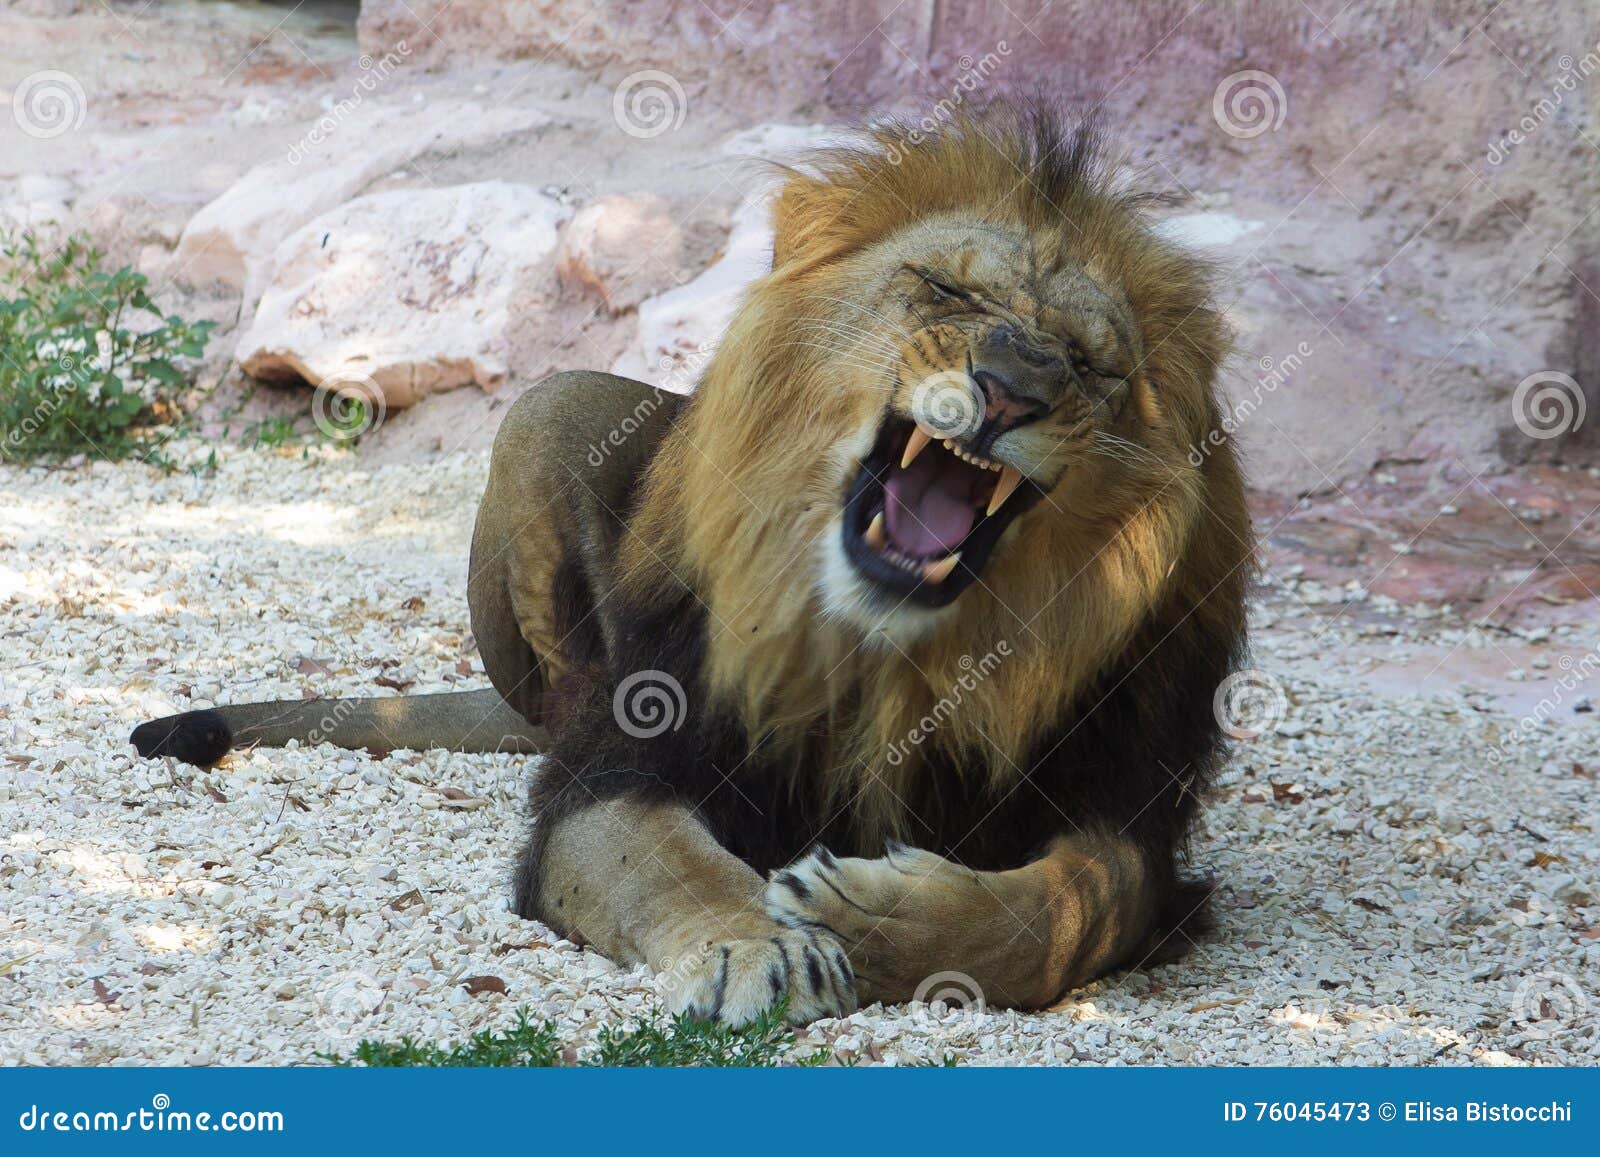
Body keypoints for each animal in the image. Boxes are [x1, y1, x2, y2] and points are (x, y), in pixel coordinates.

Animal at [132, 106, 1253, 1026]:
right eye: (947, 289)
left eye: (1092, 364)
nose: (1012, 384)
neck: (885, 660)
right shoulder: (621, 763)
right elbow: (668, 862)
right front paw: (756, 944)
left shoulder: (1125, 803)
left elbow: (1063, 908)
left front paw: (868, 910)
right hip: (549, 409)